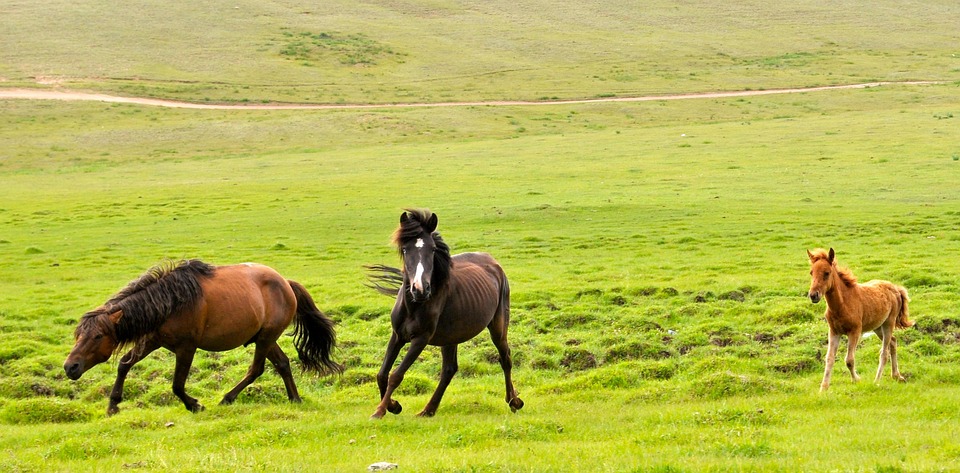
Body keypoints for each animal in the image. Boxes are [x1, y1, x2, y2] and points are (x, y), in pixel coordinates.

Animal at [64, 260, 342, 415]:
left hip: (265, 339)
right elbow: (124, 364)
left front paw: (195, 405)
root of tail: (285, 282)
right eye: (79, 334)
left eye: (98, 336)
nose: (70, 367)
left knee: (257, 369)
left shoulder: (186, 347)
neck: (169, 302)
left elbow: (177, 385)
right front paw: (113, 405)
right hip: (265, 338)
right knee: (282, 364)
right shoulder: (152, 340)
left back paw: (227, 398)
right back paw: (295, 398)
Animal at [366, 209, 523, 418]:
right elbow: (382, 374)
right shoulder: (397, 335)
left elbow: (396, 375)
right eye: (405, 249)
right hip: (450, 337)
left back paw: (514, 401)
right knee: (449, 369)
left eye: (432, 249)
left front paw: (380, 410)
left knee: (505, 358)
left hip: (498, 326)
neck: (414, 305)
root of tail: (493, 262)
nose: (420, 289)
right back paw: (428, 410)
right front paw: (393, 405)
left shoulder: (420, 339)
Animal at [806, 248, 913, 392]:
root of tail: (896, 288)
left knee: (884, 353)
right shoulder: (834, 331)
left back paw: (877, 381)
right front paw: (823, 388)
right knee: (893, 342)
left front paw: (856, 379)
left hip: (888, 323)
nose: (813, 295)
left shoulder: (855, 331)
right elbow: (829, 358)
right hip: (877, 327)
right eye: (811, 272)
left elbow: (849, 360)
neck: (843, 304)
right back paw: (897, 376)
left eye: (826, 273)